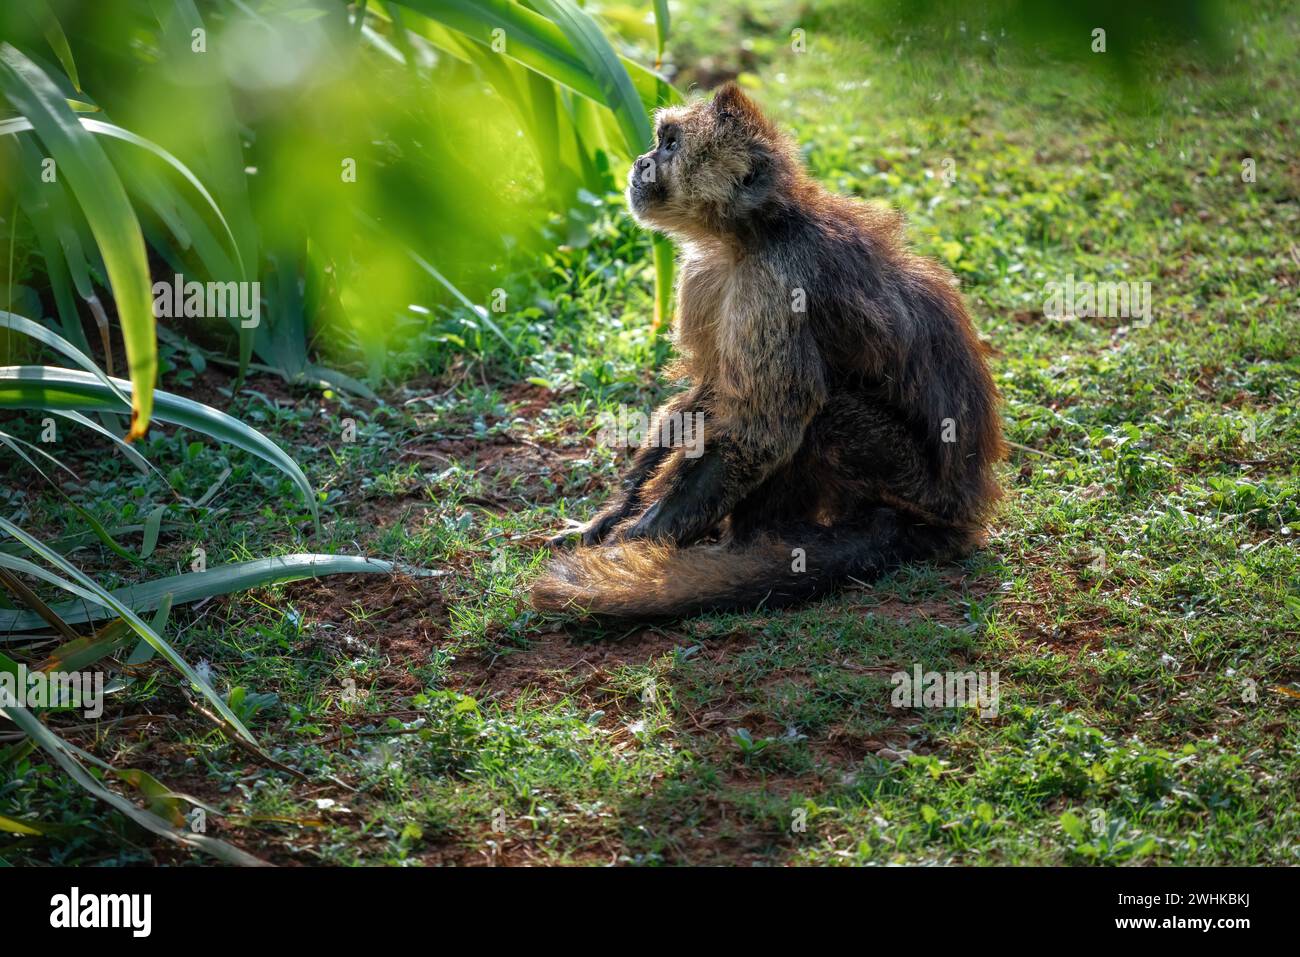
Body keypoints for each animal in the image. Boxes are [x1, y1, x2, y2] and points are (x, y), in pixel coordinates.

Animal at [532, 82, 1005, 618]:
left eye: (670, 145)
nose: (641, 161)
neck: (751, 234)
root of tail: (961, 508)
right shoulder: (704, 273)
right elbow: (707, 393)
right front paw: (611, 520)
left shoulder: (776, 281)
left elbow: (762, 427)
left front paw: (636, 539)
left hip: (911, 487)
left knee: (818, 416)